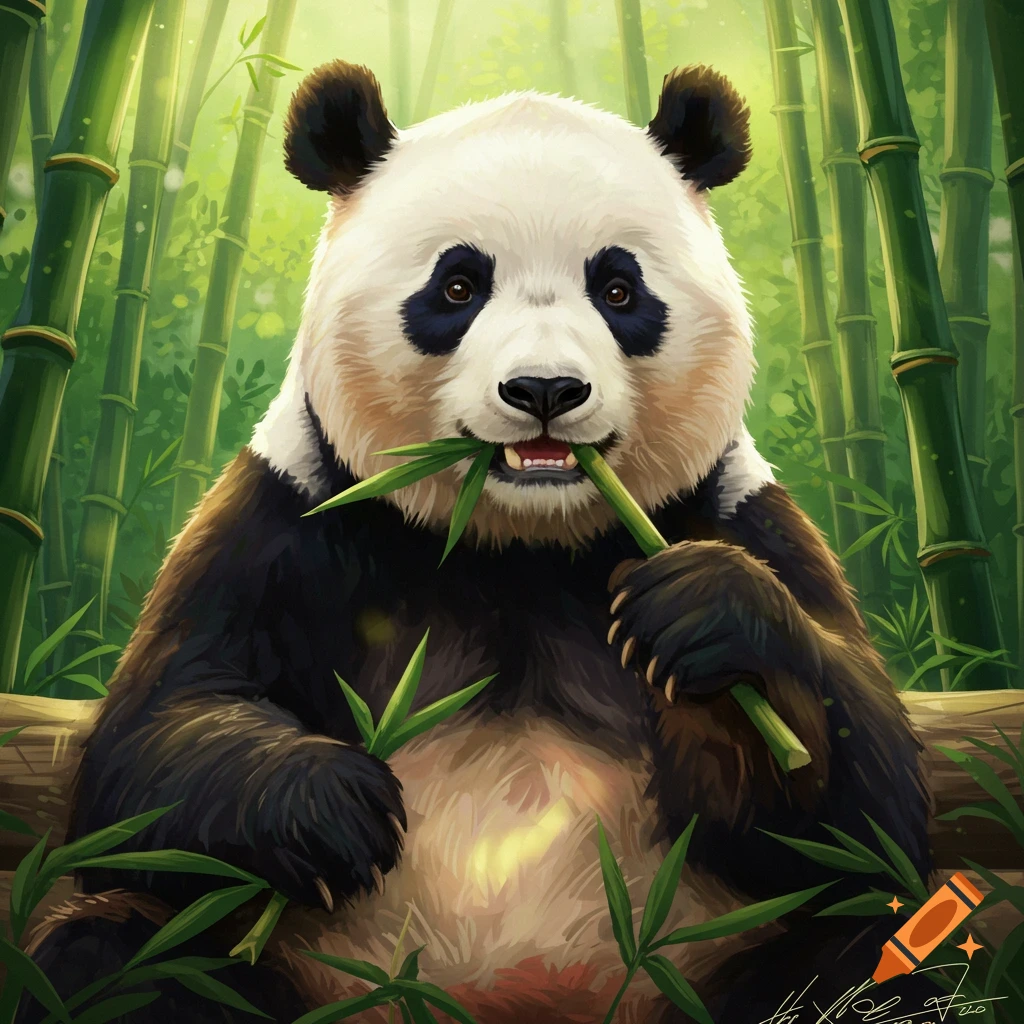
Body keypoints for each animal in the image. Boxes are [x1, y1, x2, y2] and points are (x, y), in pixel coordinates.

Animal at [19, 61, 933, 1024]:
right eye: (458, 287)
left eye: (618, 290)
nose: (546, 389)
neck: (517, 546)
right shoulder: (290, 517)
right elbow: (146, 749)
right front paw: (334, 807)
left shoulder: (731, 508)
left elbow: (864, 815)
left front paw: (704, 614)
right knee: (110, 956)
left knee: (861, 961)